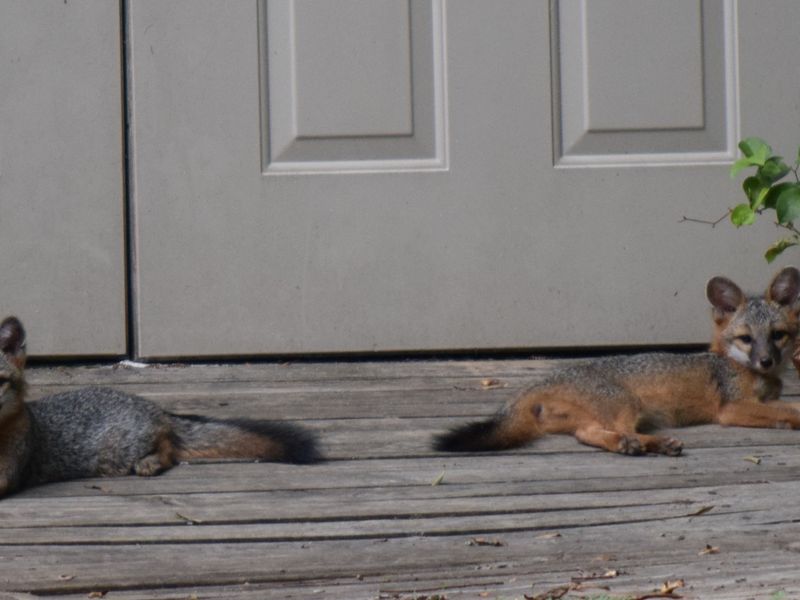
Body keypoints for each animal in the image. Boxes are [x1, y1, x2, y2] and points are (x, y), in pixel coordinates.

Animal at [433, 266, 800, 457]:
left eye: (778, 335)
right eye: (746, 339)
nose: (766, 361)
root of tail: (542, 381)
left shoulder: (765, 399)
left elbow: (787, 406)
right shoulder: (732, 408)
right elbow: (786, 411)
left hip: (602, 416)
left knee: (585, 433)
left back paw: (633, 444)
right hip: (627, 404)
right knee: (611, 432)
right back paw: (651, 444)